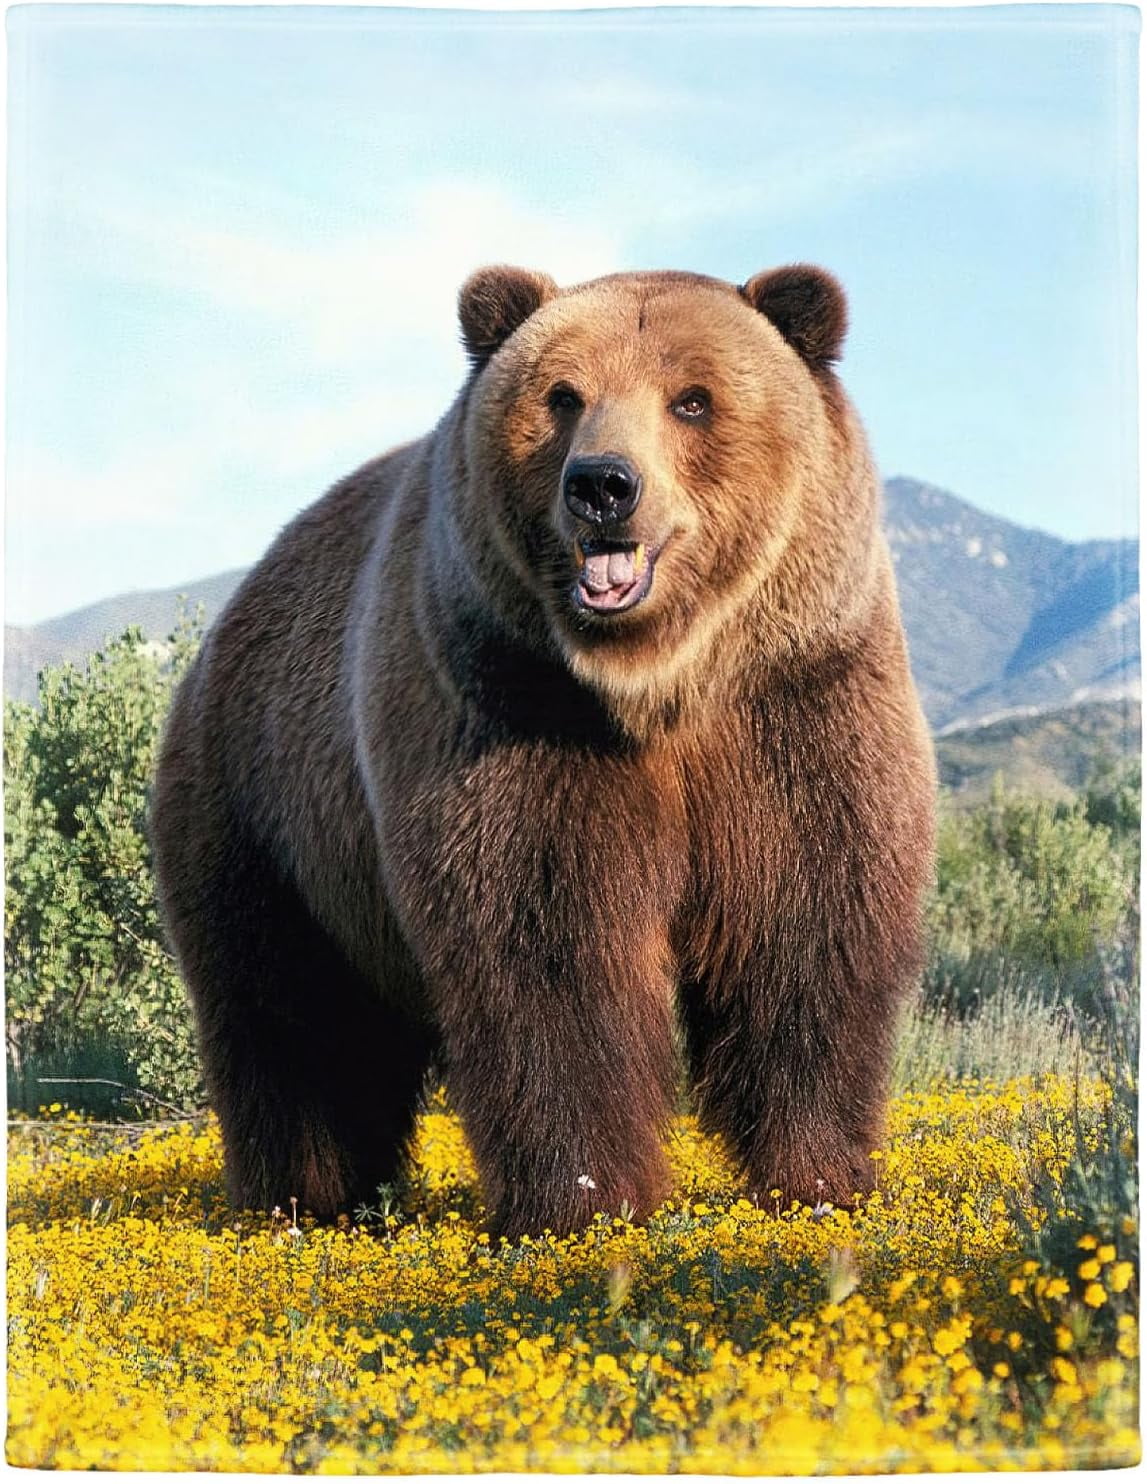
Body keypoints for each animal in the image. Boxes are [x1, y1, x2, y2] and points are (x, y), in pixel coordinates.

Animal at [150, 262, 936, 1240]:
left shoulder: (794, 702)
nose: (602, 484)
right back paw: (304, 1198)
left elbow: (805, 923)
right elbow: (547, 946)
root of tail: (227, 622)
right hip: (266, 814)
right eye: (563, 396)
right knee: (291, 1016)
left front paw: (818, 1177)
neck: (657, 683)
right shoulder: (510, 708)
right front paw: (584, 1199)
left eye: (692, 399)